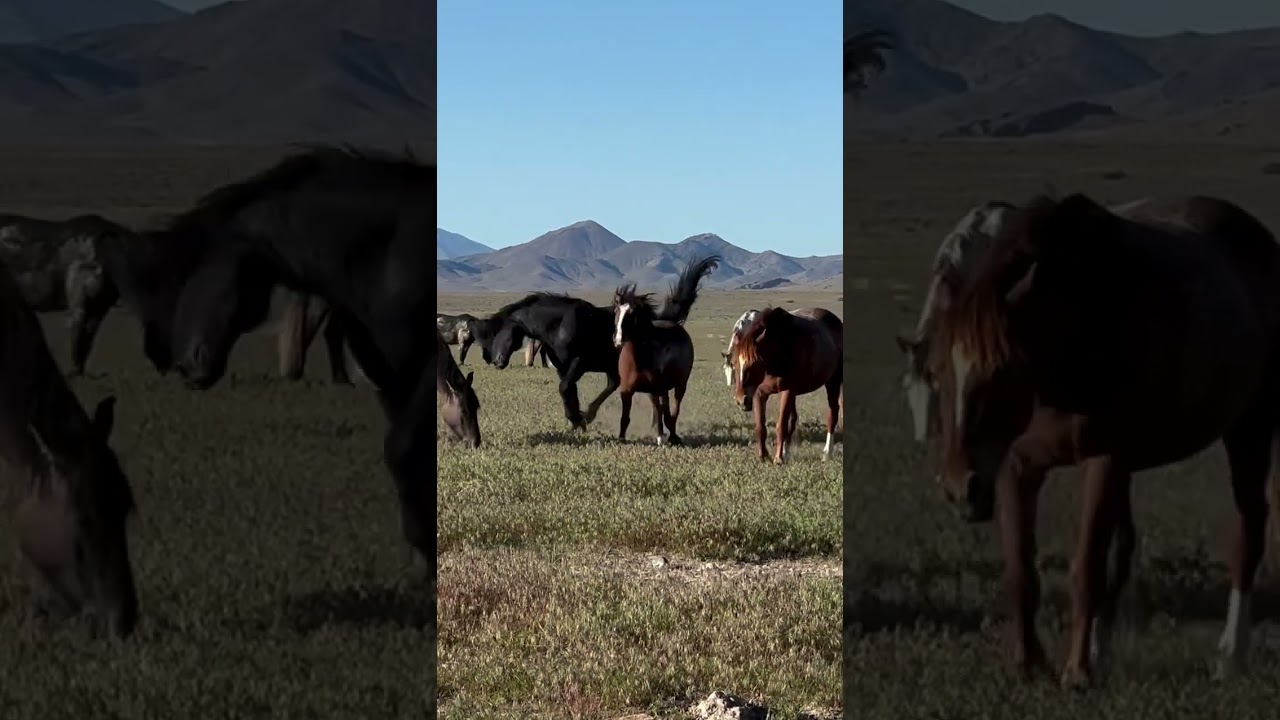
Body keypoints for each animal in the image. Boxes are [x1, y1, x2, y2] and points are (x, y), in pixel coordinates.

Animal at [111, 145, 437, 579]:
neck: (384, 250)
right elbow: (410, 457)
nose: (186, 367)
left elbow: (402, 451)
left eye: (192, 265)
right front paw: (423, 554)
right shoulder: (392, 378)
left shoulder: (427, 371)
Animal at [612, 255, 719, 445]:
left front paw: (669, 437)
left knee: (673, 408)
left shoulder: (661, 387)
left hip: (679, 384)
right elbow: (626, 417)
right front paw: (621, 439)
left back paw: (671, 436)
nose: (618, 339)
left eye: (632, 313)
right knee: (660, 408)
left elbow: (666, 413)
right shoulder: (626, 390)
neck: (640, 357)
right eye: (617, 310)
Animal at [730, 306, 843, 464]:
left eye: (754, 363)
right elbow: (761, 426)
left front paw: (778, 459)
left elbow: (781, 426)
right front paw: (763, 456)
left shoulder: (787, 390)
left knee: (833, 412)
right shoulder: (759, 393)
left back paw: (827, 453)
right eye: (734, 363)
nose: (742, 400)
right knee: (793, 418)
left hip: (833, 380)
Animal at [926, 193, 1280, 688]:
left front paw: (1076, 673)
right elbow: (1022, 570)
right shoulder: (1017, 467)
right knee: (1123, 545)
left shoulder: (1104, 458)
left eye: (1002, 372)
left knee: (1248, 528)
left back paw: (1230, 655)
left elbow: (1085, 569)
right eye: (939, 372)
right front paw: (1028, 662)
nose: (962, 489)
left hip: (1250, 426)